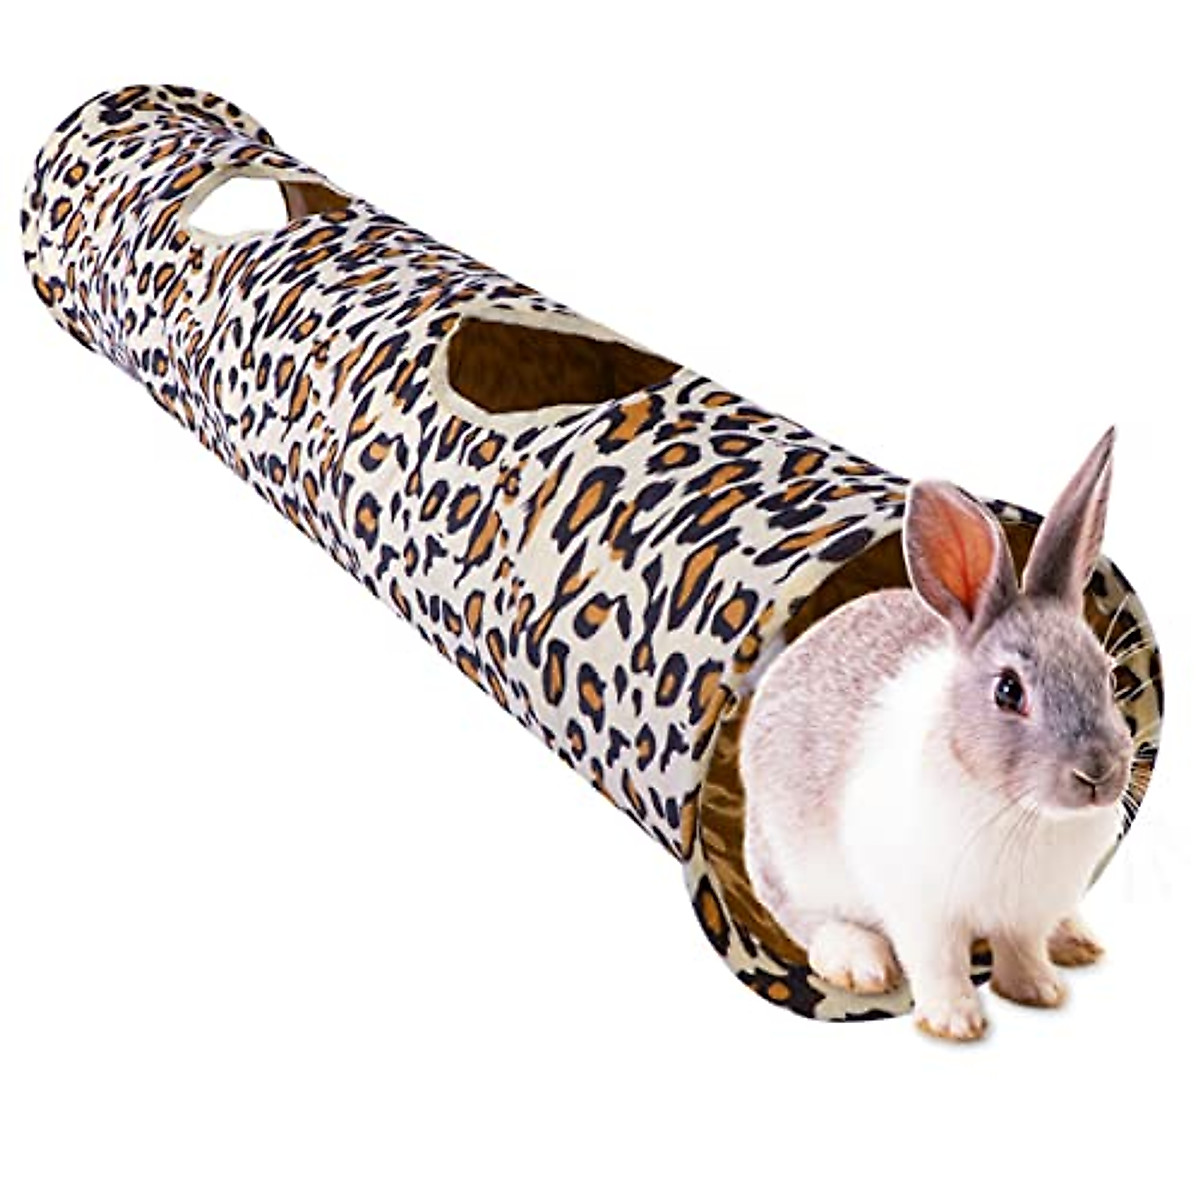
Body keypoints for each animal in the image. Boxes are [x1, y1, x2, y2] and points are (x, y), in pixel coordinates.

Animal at [740, 428, 1134, 1040]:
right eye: (1008, 692)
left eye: (1110, 678)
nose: (1098, 774)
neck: (1019, 811)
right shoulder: (922, 909)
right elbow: (939, 961)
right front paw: (954, 1022)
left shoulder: (1025, 911)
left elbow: (1021, 949)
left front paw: (1040, 991)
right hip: (789, 863)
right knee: (806, 919)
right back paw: (858, 962)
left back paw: (1076, 940)